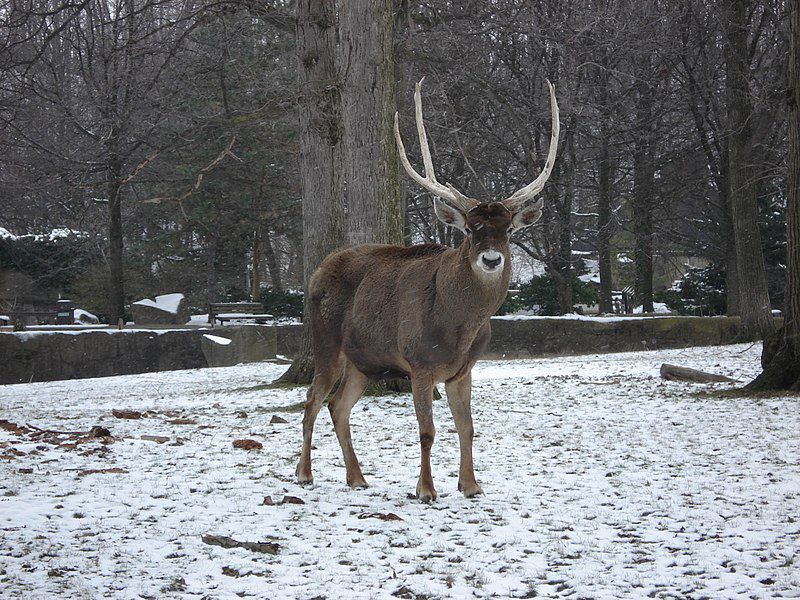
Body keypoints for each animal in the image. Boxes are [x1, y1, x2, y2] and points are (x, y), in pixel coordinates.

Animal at [296, 79, 559, 501]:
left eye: (508, 229)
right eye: (469, 228)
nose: (490, 259)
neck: (456, 327)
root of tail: (317, 272)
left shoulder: (463, 370)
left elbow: (467, 427)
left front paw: (470, 485)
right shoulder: (418, 364)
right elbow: (427, 431)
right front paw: (425, 489)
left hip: (363, 360)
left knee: (338, 406)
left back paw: (357, 477)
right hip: (325, 343)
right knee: (311, 401)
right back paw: (304, 474)